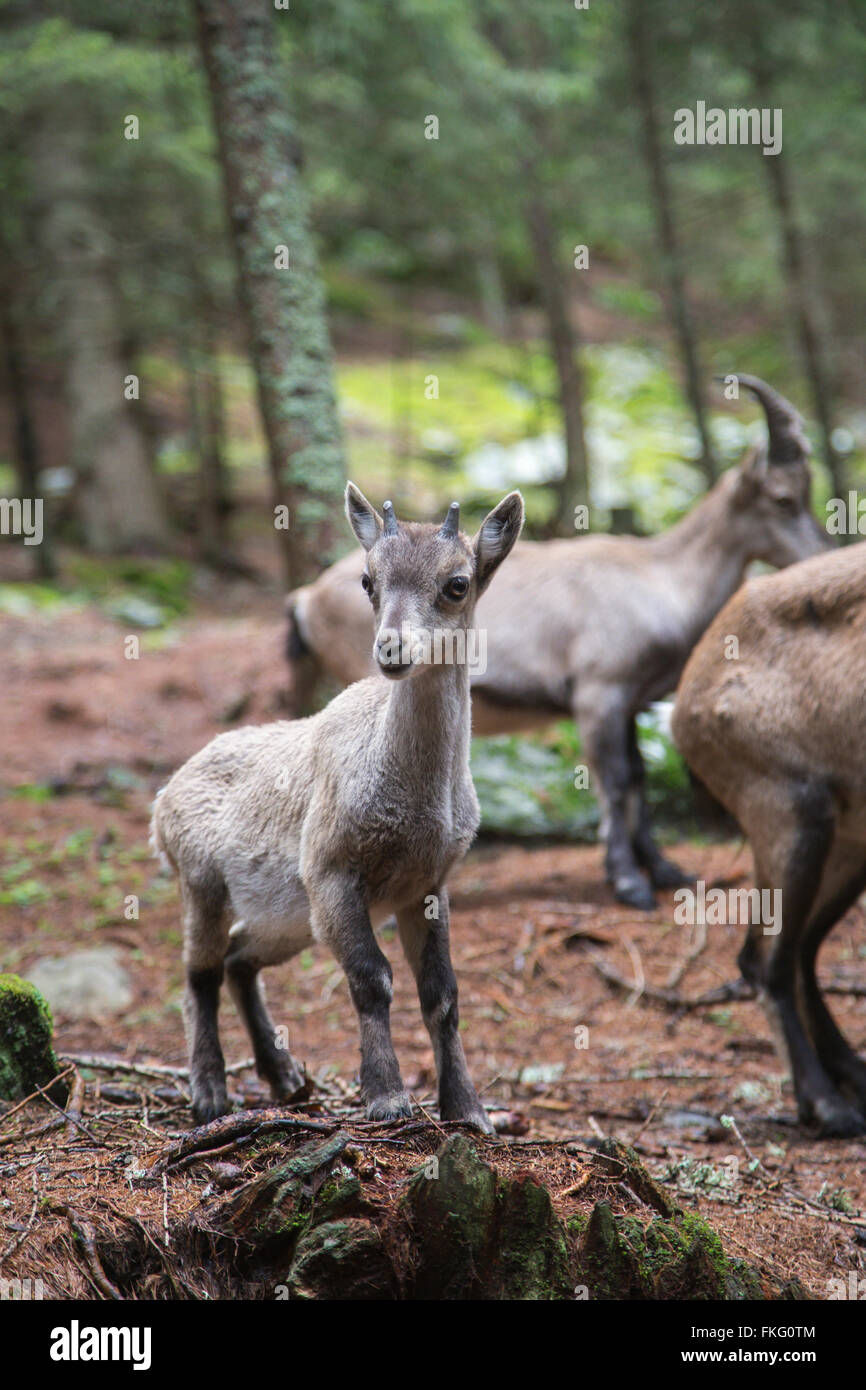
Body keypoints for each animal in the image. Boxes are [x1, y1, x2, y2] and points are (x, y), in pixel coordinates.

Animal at [151, 484, 524, 1131]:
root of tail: (161, 801)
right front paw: (387, 1098)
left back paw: (285, 1077)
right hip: (202, 883)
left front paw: (468, 1110)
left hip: (287, 917)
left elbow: (443, 994)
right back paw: (210, 1093)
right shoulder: (330, 867)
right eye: (368, 580)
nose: (391, 647)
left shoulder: (429, 884)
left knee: (239, 959)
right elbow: (372, 979)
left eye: (457, 583)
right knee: (199, 972)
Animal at [286, 377, 830, 909]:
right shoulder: (598, 693)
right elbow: (614, 781)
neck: (663, 578)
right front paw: (628, 881)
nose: (821, 553)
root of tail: (305, 597)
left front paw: (665, 870)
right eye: (784, 498)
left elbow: (638, 776)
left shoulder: (631, 702)